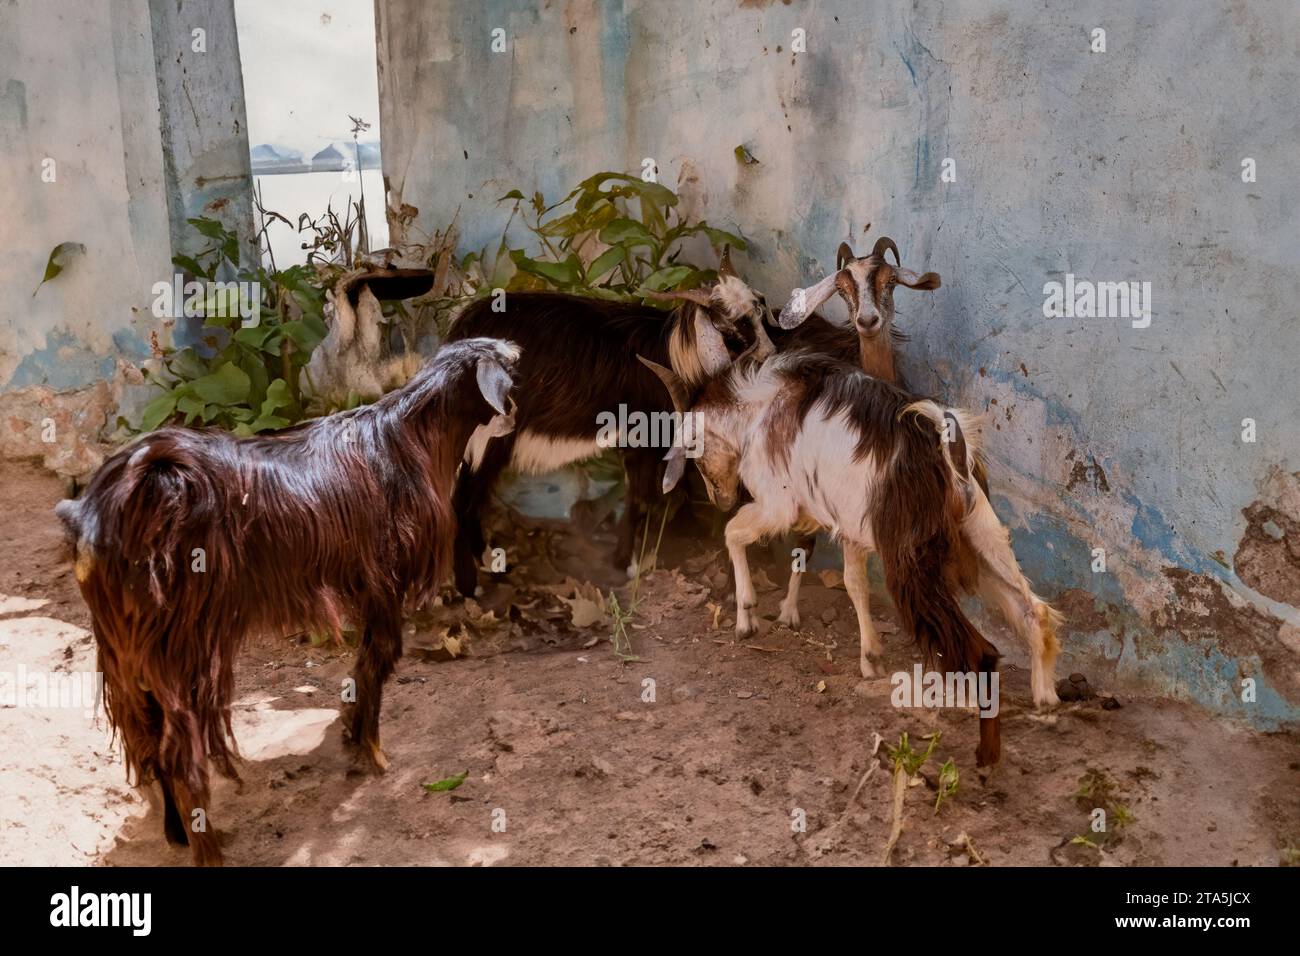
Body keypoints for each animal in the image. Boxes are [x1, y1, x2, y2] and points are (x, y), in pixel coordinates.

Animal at [54, 337, 520, 865]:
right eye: (509, 376)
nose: (515, 415)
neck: (409, 440)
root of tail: (105, 509)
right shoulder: (385, 583)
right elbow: (378, 662)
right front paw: (373, 754)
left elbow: (363, 666)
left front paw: (351, 738)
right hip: (181, 640)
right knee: (179, 751)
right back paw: (209, 850)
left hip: (126, 646)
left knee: (145, 735)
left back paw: (176, 831)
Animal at [443, 251, 769, 595]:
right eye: (731, 331)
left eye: (761, 313)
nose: (770, 356)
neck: (673, 356)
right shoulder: (645, 439)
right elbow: (643, 497)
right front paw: (628, 562)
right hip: (489, 437)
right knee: (463, 501)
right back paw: (470, 585)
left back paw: (486, 561)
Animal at [641, 350, 1062, 765]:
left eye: (695, 454)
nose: (720, 499)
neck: (759, 410)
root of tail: (945, 448)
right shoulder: (835, 520)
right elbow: (831, 569)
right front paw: (816, 628)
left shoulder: (779, 505)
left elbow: (736, 534)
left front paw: (747, 617)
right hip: (981, 534)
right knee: (1034, 610)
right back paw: (1046, 699)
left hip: (910, 561)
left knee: (982, 652)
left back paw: (986, 754)